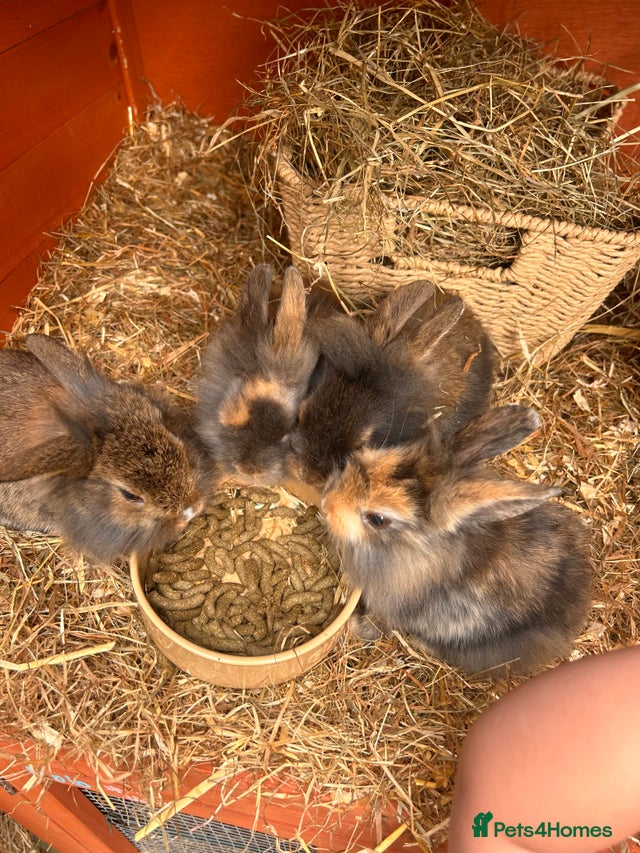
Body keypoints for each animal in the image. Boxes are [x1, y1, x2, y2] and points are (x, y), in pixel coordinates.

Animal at [320, 404, 593, 676]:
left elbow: (379, 623)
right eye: (363, 460)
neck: (411, 548)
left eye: (377, 519)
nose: (326, 503)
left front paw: (355, 626)